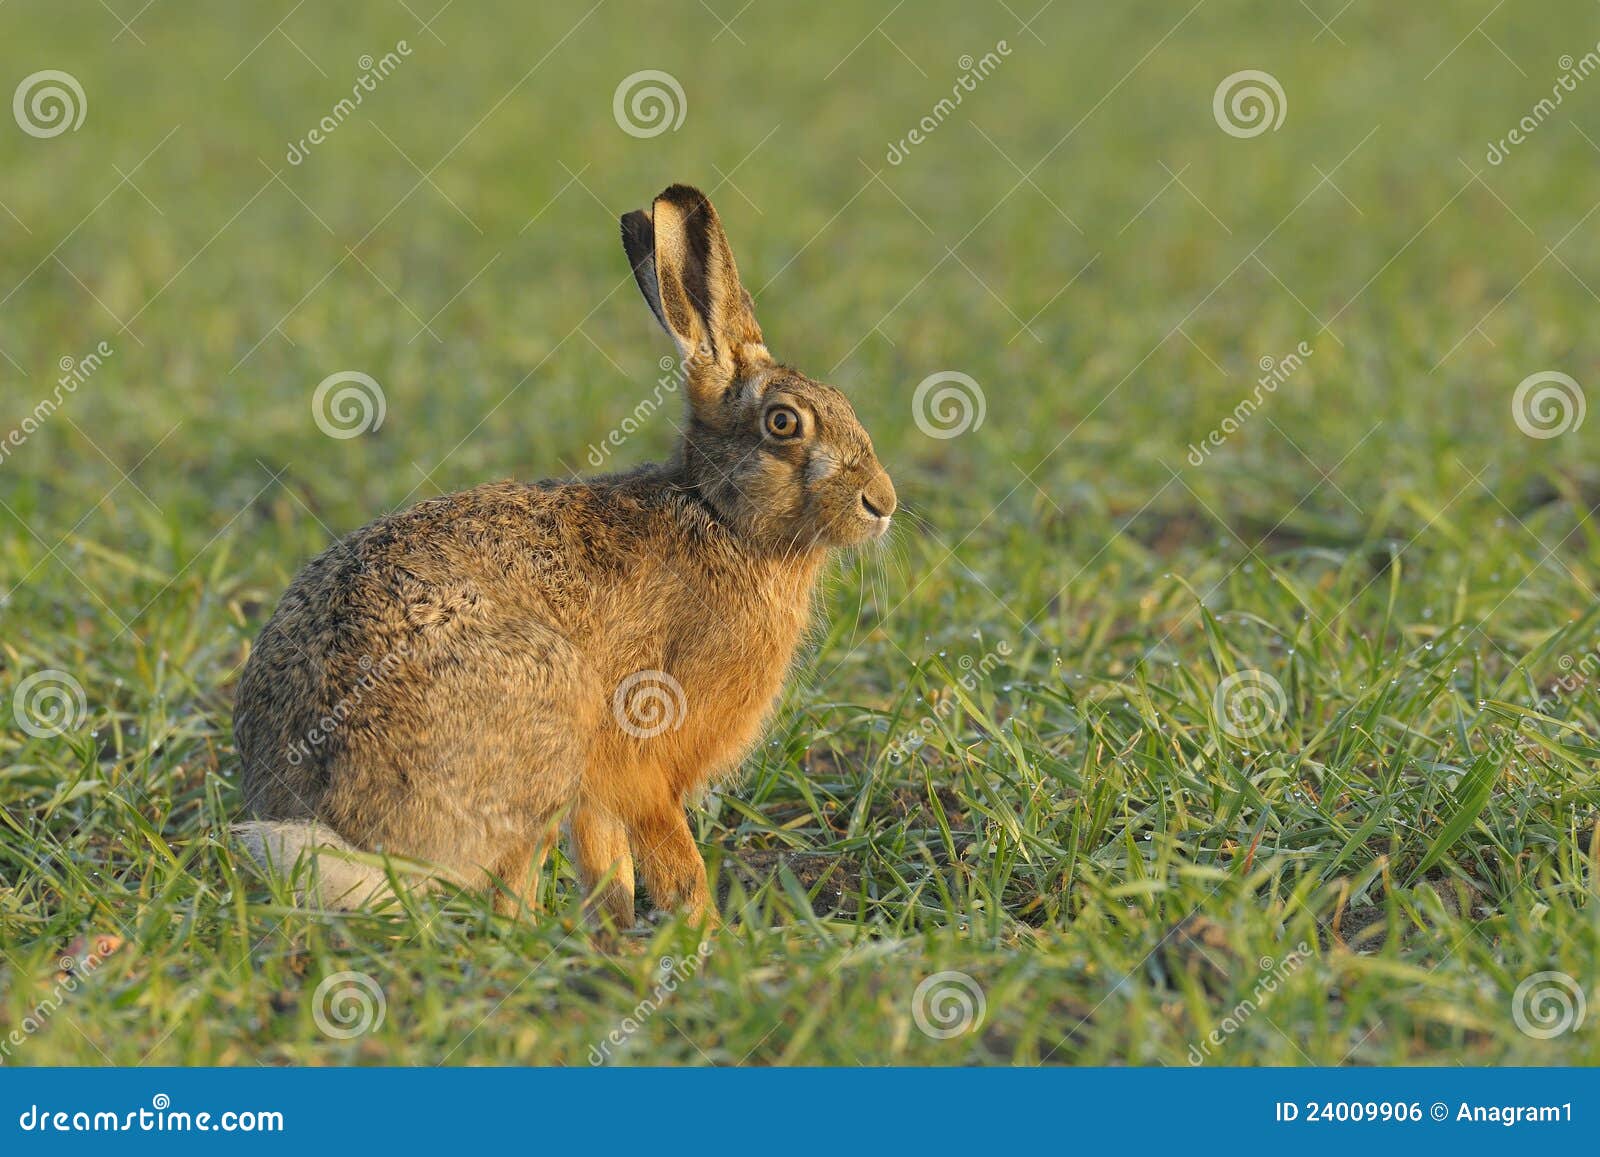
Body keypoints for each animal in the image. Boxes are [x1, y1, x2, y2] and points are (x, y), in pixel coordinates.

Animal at [233, 183, 897, 928]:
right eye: (784, 423)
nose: (882, 502)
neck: (720, 515)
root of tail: (325, 807)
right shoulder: (639, 748)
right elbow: (670, 856)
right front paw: (701, 929)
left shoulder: (601, 794)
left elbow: (609, 866)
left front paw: (616, 931)